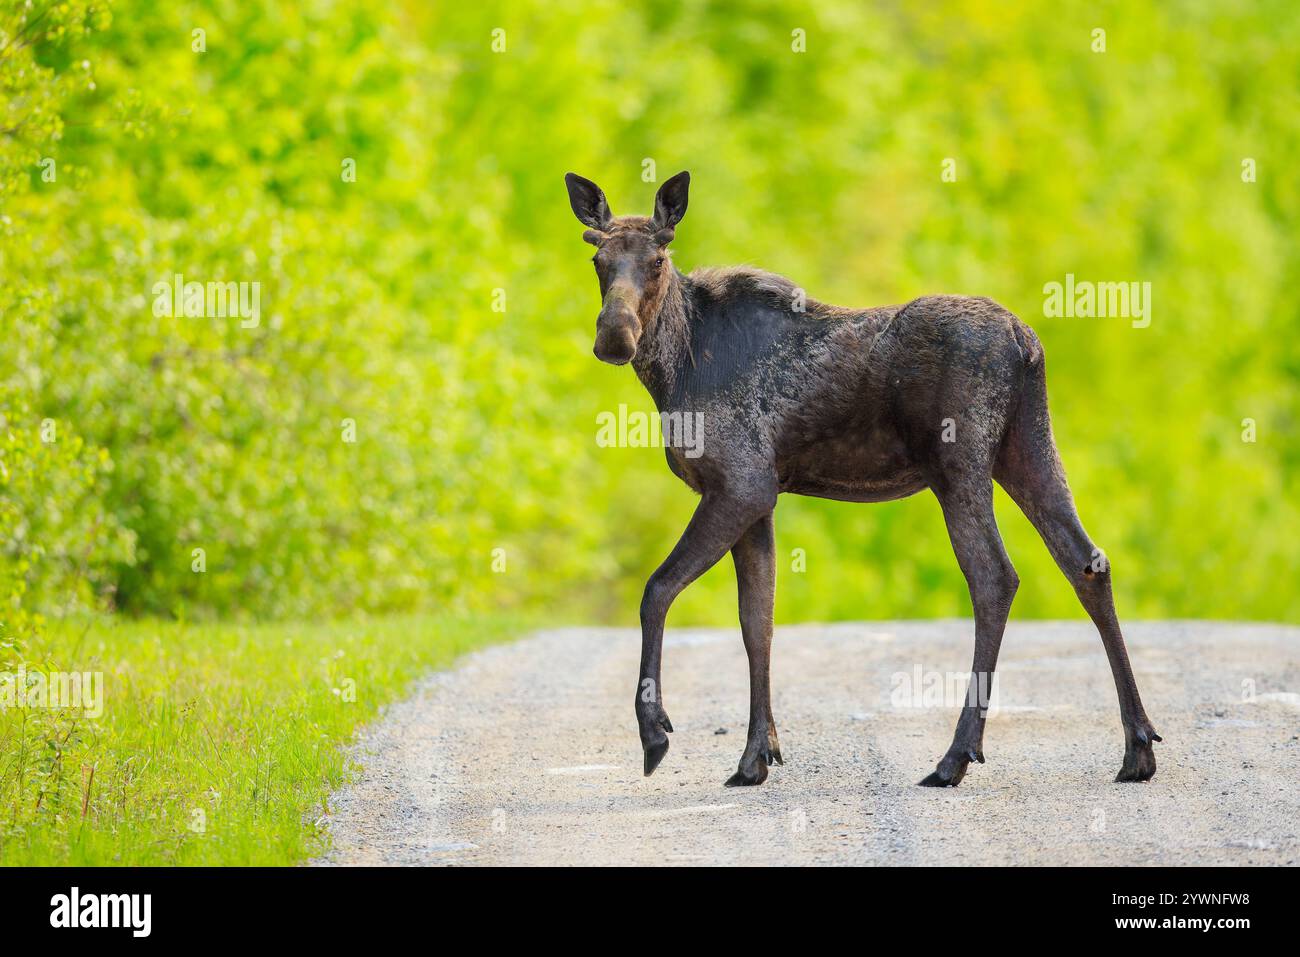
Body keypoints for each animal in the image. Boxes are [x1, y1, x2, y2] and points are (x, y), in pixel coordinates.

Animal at [564, 170, 1161, 788]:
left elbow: (657, 590)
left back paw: (954, 757)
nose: (614, 336)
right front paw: (757, 755)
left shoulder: (740, 484)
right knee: (1085, 560)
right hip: (1026, 446)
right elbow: (758, 620)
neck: (673, 372)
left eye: (658, 259)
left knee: (995, 577)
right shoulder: (760, 499)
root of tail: (1028, 344)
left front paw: (656, 734)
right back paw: (1137, 747)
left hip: (960, 465)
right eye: (597, 258)